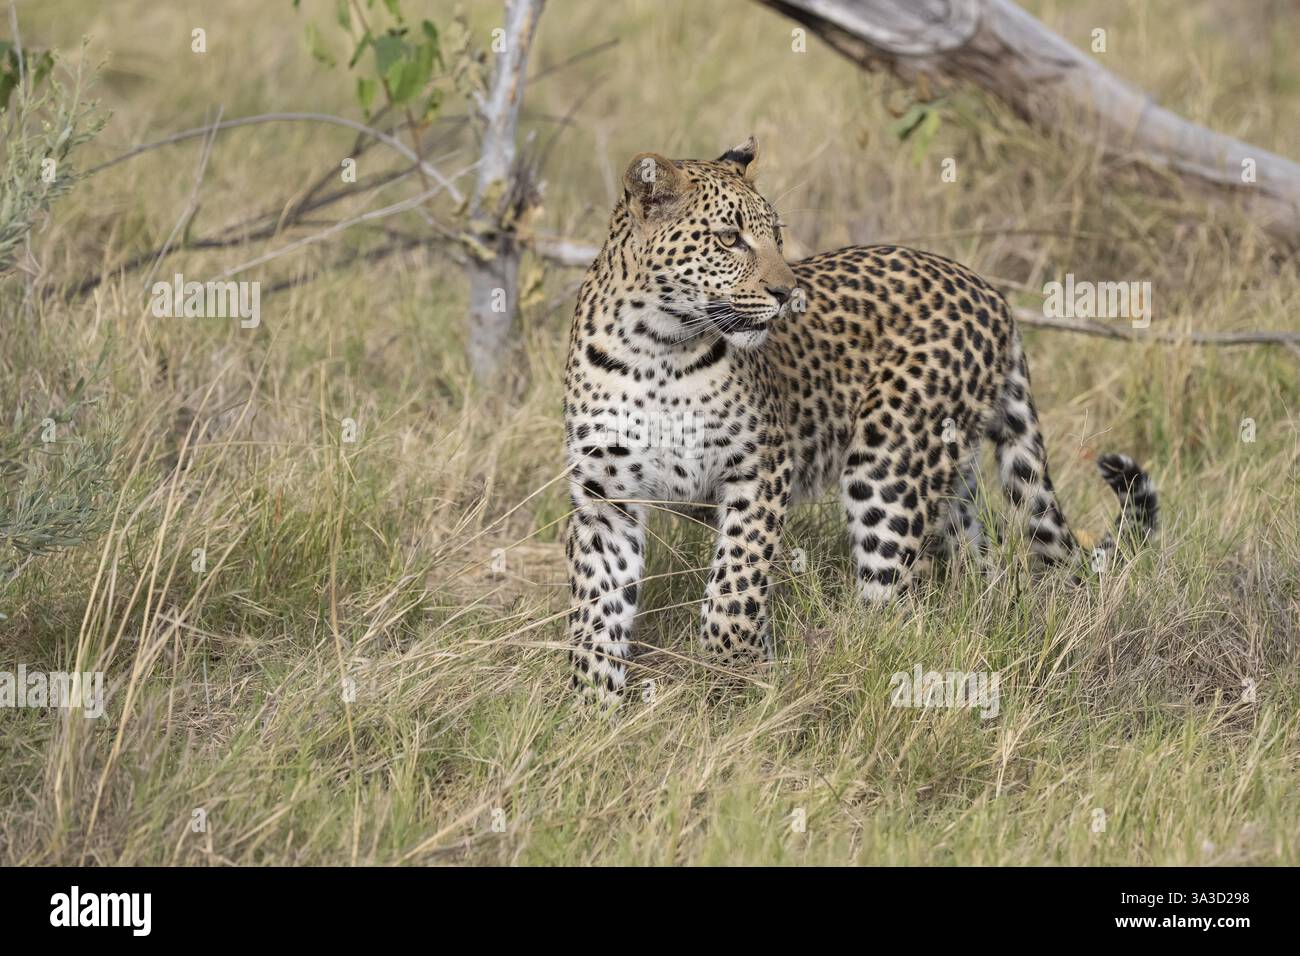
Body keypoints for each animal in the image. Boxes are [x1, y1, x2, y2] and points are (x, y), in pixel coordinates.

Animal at [562, 137, 1158, 705]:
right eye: (729, 239)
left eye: (776, 236)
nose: (787, 294)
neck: (656, 348)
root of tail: (994, 295)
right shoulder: (603, 494)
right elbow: (597, 605)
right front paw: (592, 705)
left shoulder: (761, 469)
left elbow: (737, 580)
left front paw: (733, 673)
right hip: (950, 475)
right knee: (979, 558)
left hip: (888, 466)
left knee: (893, 602)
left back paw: (854, 665)